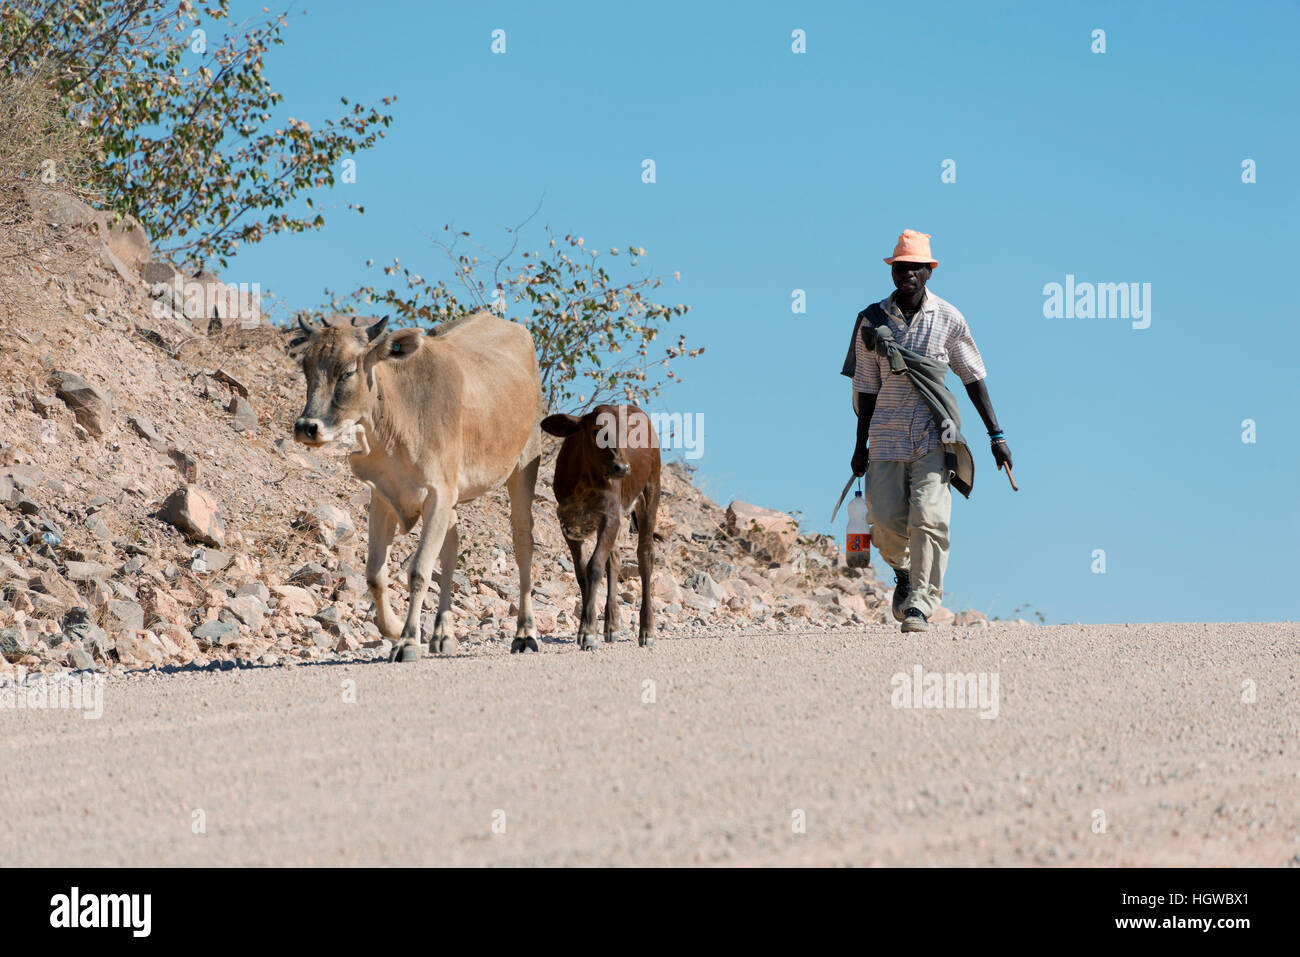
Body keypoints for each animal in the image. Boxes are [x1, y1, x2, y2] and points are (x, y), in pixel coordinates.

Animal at [289, 312, 543, 662]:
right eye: (307, 367)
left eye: (349, 370)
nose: (306, 427)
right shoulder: (384, 494)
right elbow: (375, 574)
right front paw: (396, 628)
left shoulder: (438, 493)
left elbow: (419, 571)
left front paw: (408, 641)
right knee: (451, 548)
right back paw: (442, 634)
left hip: (524, 464)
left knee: (522, 544)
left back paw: (525, 634)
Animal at [540, 404, 660, 650]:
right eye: (597, 431)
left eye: (624, 433)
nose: (622, 468)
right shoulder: (568, 523)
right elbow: (581, 572)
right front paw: (590, 627)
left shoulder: (610, 516)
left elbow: (594, 567)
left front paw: (588, 632)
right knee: (614, 559)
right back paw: (611, 625)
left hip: (651, 491)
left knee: (645, 556)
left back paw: (646, 630)